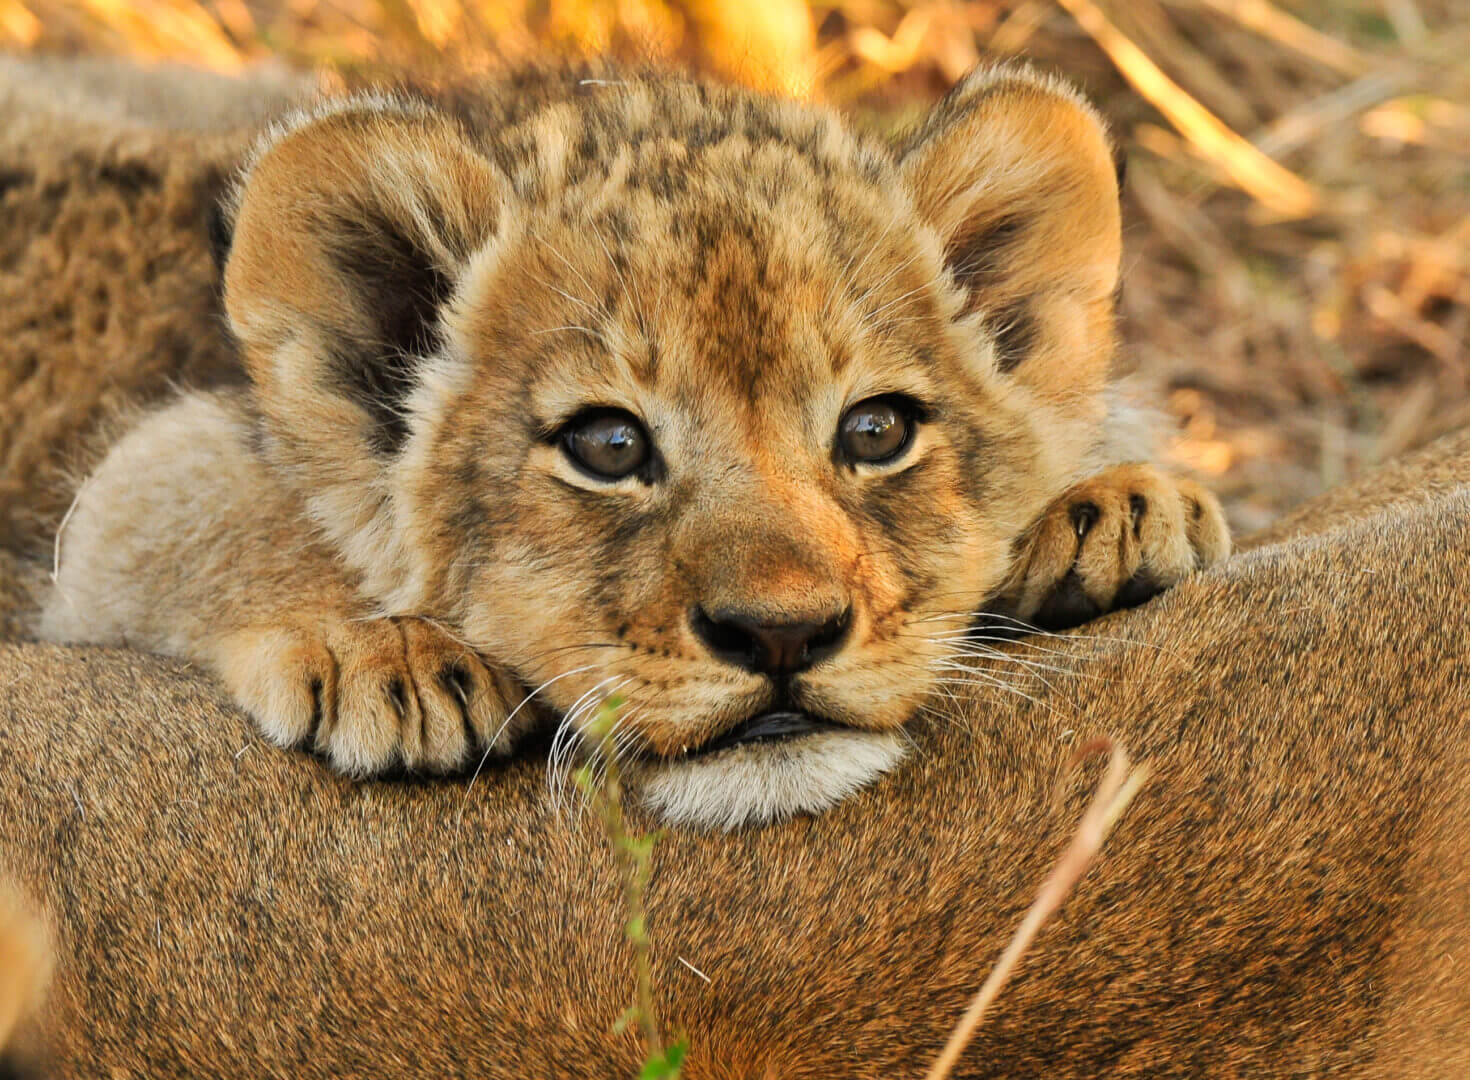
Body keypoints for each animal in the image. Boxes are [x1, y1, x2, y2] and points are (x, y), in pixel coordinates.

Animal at [34, 61, 1227, 828]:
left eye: (876, 430)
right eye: (607, 445)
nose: (783, 634)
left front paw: (1121, 504)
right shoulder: (112, 515)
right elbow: (205, 501)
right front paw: (384, 651)